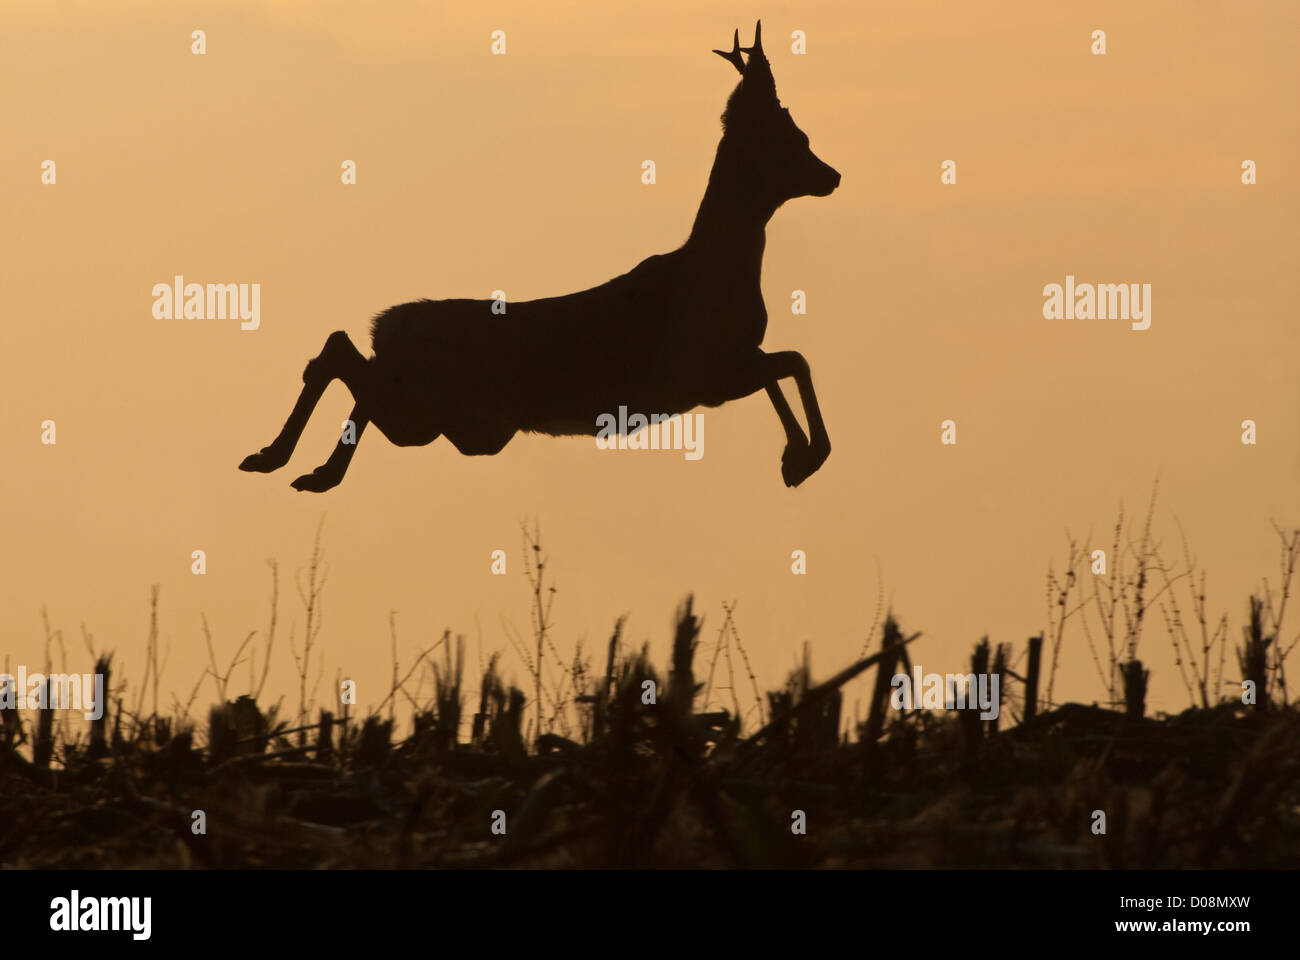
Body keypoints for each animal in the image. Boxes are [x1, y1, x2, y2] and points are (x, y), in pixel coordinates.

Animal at [240, 21, 840, 492]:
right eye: (793, 138)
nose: (833, 175)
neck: (720, 271)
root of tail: (389, 324)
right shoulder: (704, 372)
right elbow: (790, 362)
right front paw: (804, 457)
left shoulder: (724, 370)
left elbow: (790, 362)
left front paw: (798, 457)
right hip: (434, 408)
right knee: (349, 366)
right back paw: (310, 469)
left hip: (459, 423)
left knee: (341, 353)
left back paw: (278, 459)